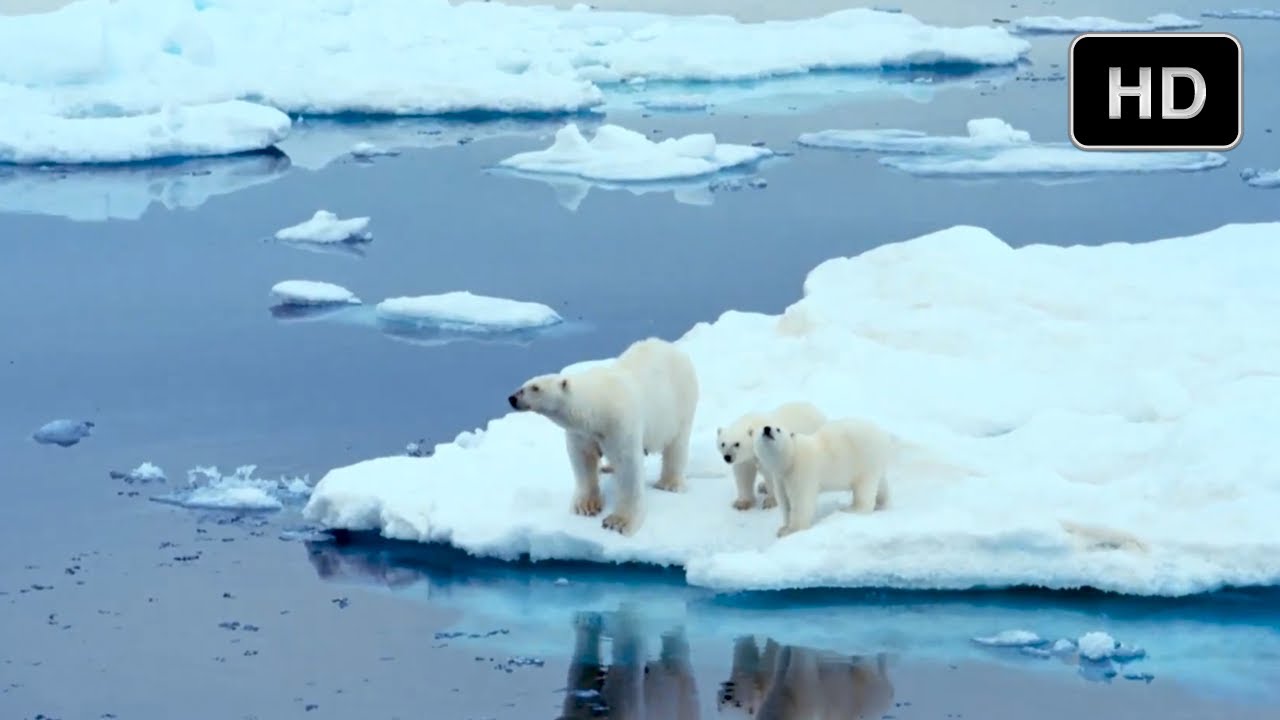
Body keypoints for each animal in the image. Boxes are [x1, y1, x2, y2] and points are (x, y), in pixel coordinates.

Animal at [507, 337, 699, 536]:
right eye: (523, 385)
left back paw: (669, 483)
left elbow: (628, 466)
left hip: (679, 404)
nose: (512, 398)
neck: (597, 408)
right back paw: (608, 467)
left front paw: (618, 522)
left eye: (535, 387)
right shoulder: (581, 433)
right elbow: (583, 460)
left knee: (677, 445)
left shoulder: (620, 424)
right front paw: (586, 506)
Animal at [753, 418, 893, 538]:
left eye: (778, 429)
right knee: (881, 485)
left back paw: (851, 509)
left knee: (864, 489)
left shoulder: (802, 471)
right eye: (762, 428)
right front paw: (783, 528)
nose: (767, 429)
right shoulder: (780, 477)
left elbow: (801, 501)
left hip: (864, 461)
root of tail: (882, 437)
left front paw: (792, 530)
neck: (790, 458)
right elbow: (784, 500)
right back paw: (881, 502)